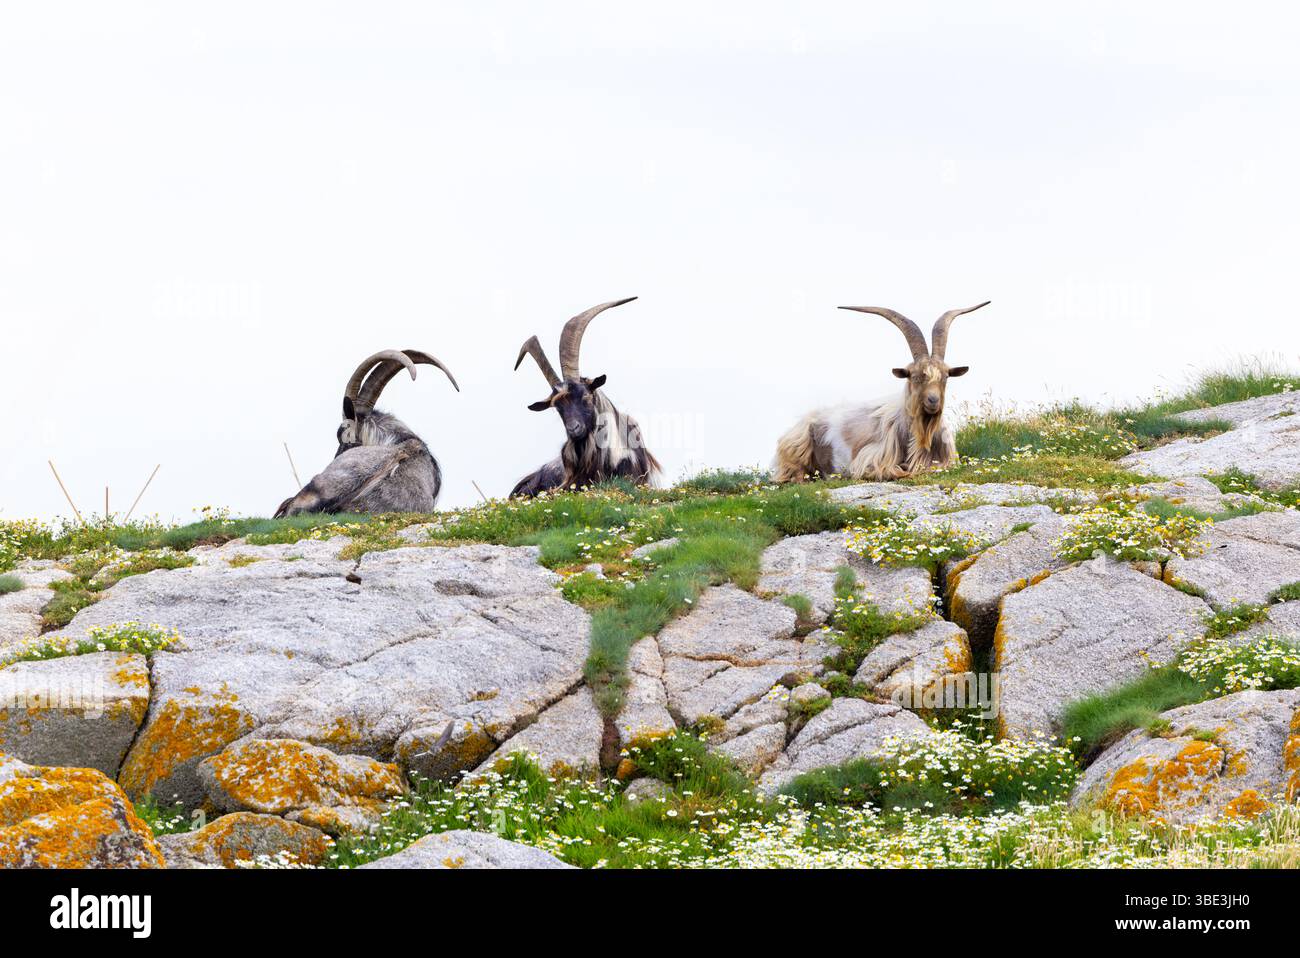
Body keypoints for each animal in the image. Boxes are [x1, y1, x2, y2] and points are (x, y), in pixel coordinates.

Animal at [772, 302, 989, 482]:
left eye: (945, 376)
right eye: (913, 375)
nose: (933, 401)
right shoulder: (868, 459)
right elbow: (897, 470)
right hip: (797, 446)